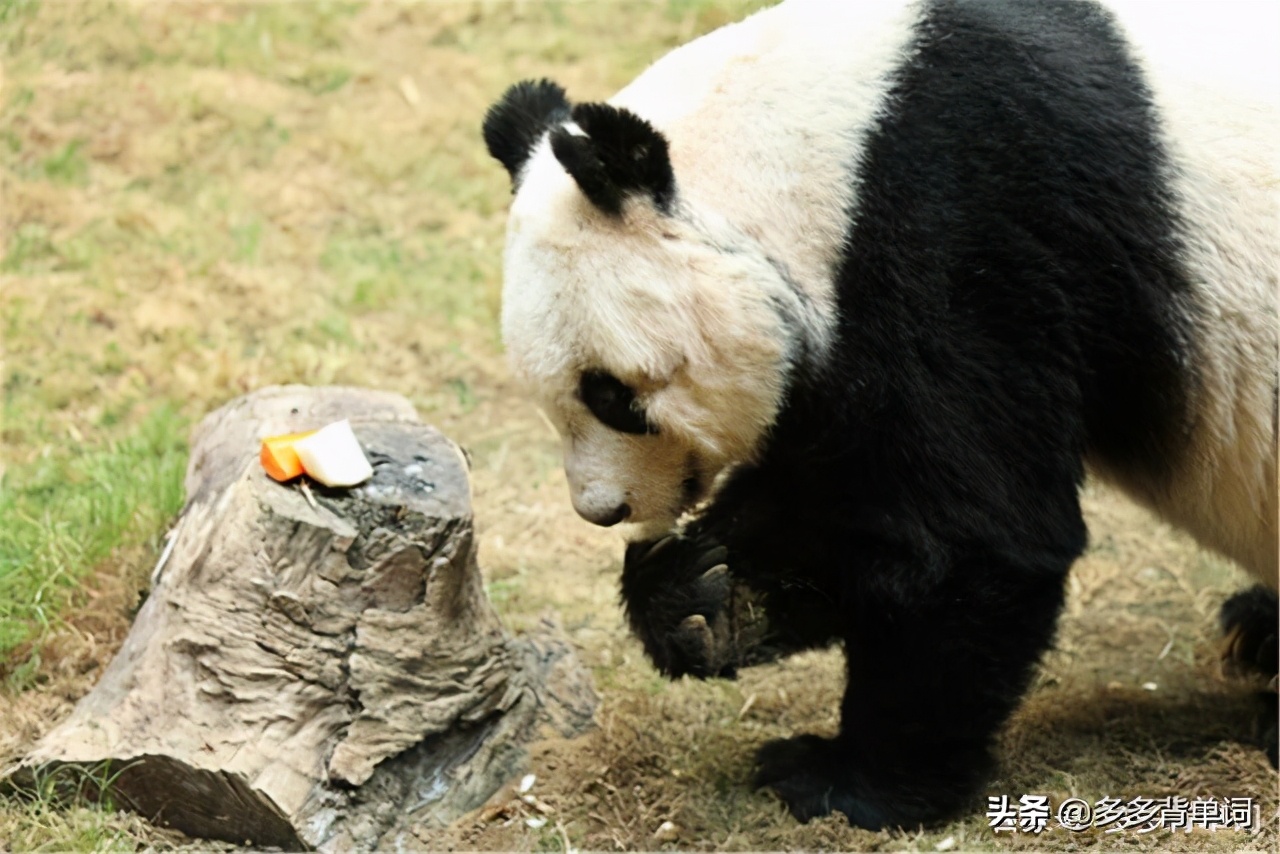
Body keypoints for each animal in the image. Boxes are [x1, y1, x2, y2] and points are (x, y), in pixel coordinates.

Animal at [483, 0, 1278, 830]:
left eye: (609, 394)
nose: (604, 510)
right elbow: (836, 497)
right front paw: (703, 596)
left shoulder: (971, 220)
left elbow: (961, 526)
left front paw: (842, 779)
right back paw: (1256, 630)